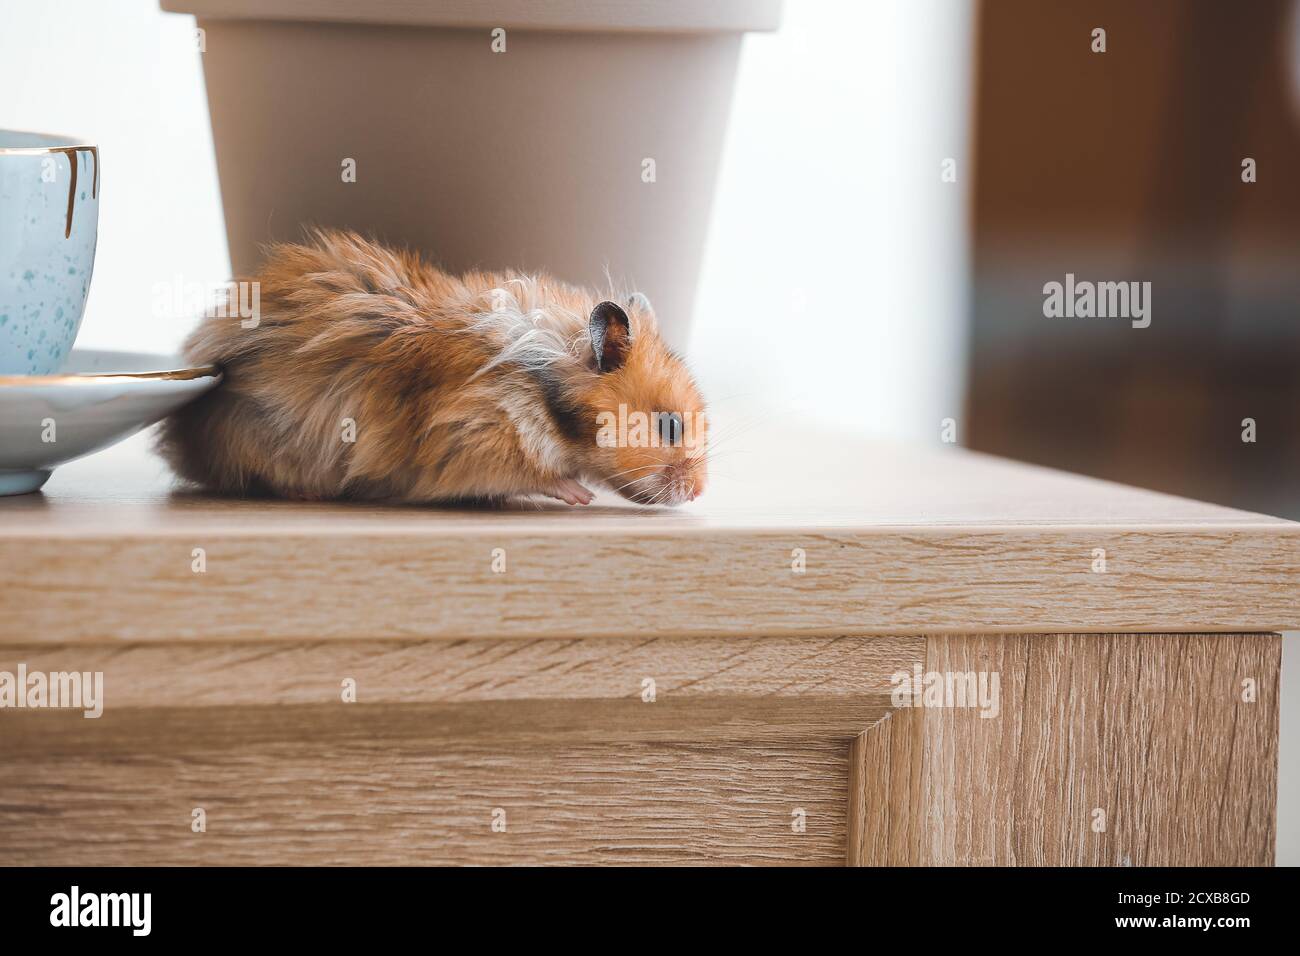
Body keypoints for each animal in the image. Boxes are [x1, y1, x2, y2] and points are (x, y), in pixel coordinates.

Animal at [158, 229, 708, 506]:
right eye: (669, 426)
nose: (700, 493)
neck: (542, 380)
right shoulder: (476, 440)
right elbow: (534, 475)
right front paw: (578, 495)